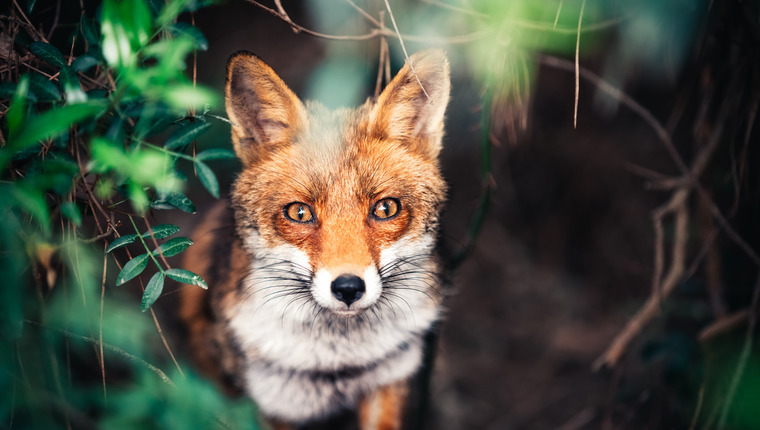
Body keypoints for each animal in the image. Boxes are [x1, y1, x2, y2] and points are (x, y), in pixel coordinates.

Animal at [179, 49, 450, 430]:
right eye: (299, 213)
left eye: (385, 208)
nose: (348, 288)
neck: (339, 364)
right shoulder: (277, 405)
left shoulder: (388, 381)